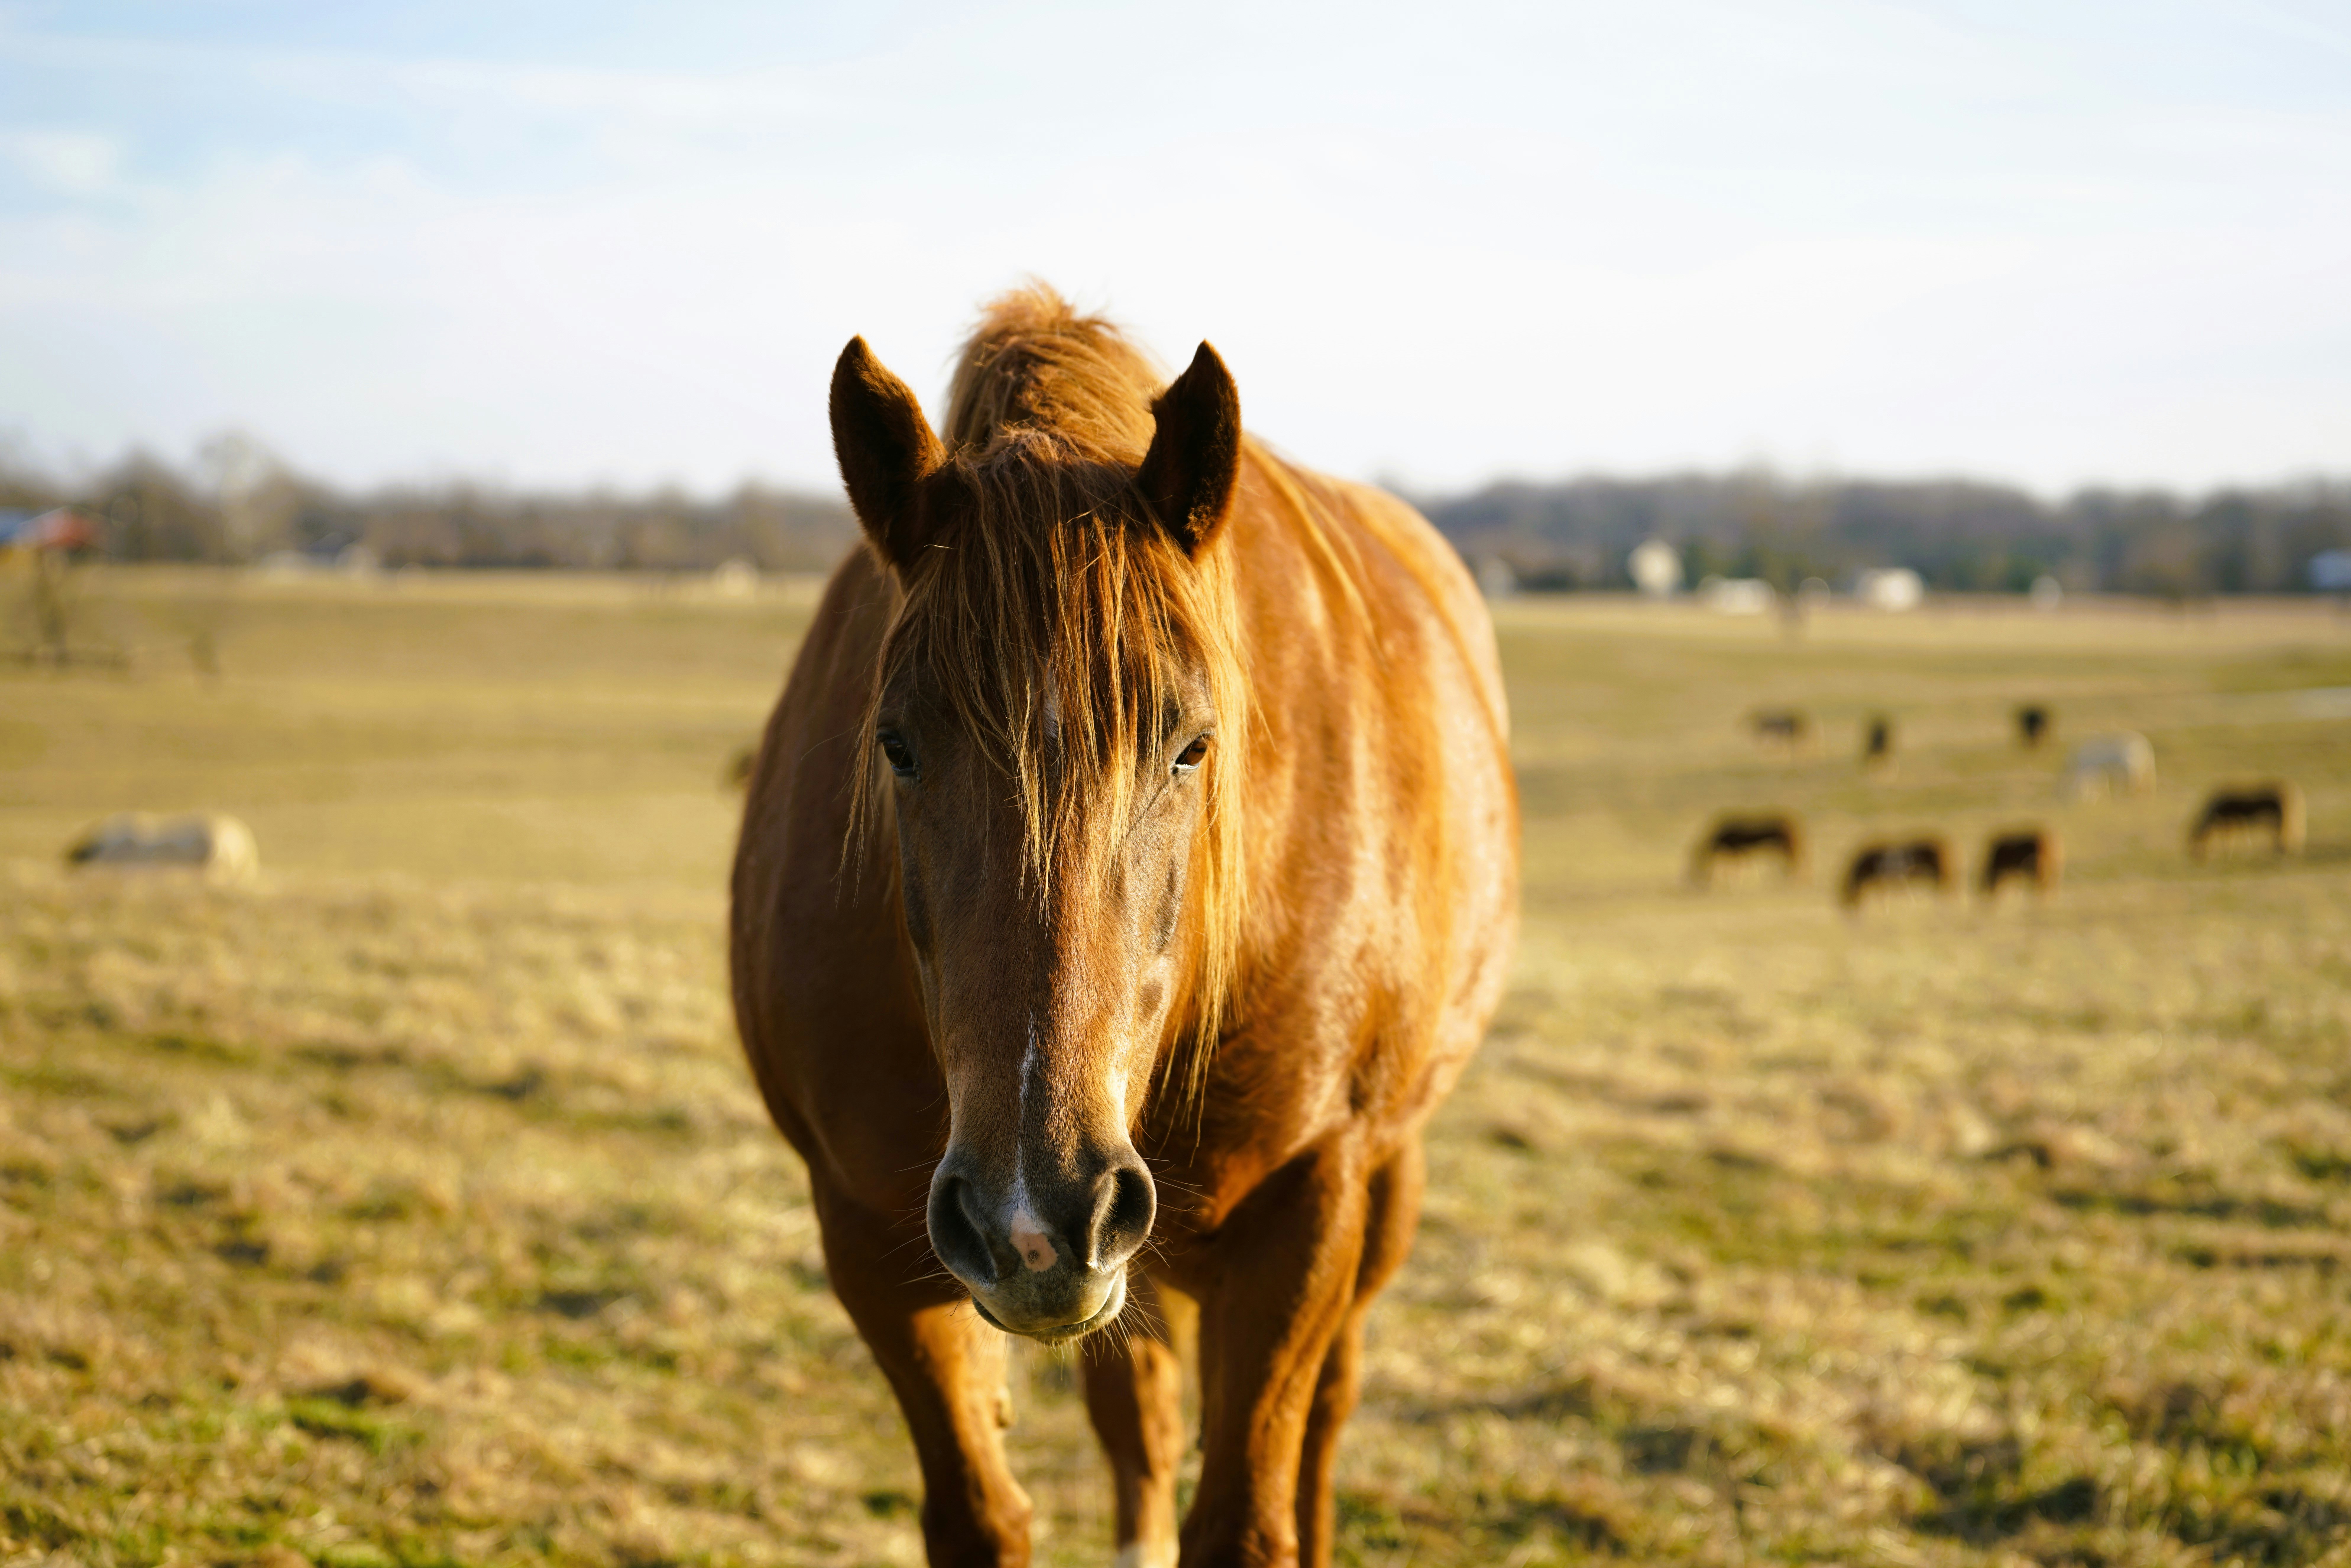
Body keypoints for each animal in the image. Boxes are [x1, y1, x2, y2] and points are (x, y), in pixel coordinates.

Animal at [730, 286, 1518, 1568]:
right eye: (895, 743)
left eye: (1191, 745)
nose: (1032, 1216)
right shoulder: (869, 1230)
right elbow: (986, 1514)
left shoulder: (1307, 1207)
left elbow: (1249, 1515)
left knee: (1326, 1410)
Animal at [1688, 812, 1804, 887]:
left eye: (1697, 861)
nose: (1695, 880)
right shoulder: (1736, 852)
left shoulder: (1736, 851)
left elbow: (1735, 869)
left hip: (1787, 848)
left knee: (1797, 861)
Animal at [2188, 782, 2304, 859]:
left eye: (2194, 842)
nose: (2193, 858)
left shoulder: (2231, 821)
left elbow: (2230, 837)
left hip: (2279, 818)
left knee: (2284, 832)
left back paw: (2281, 849)